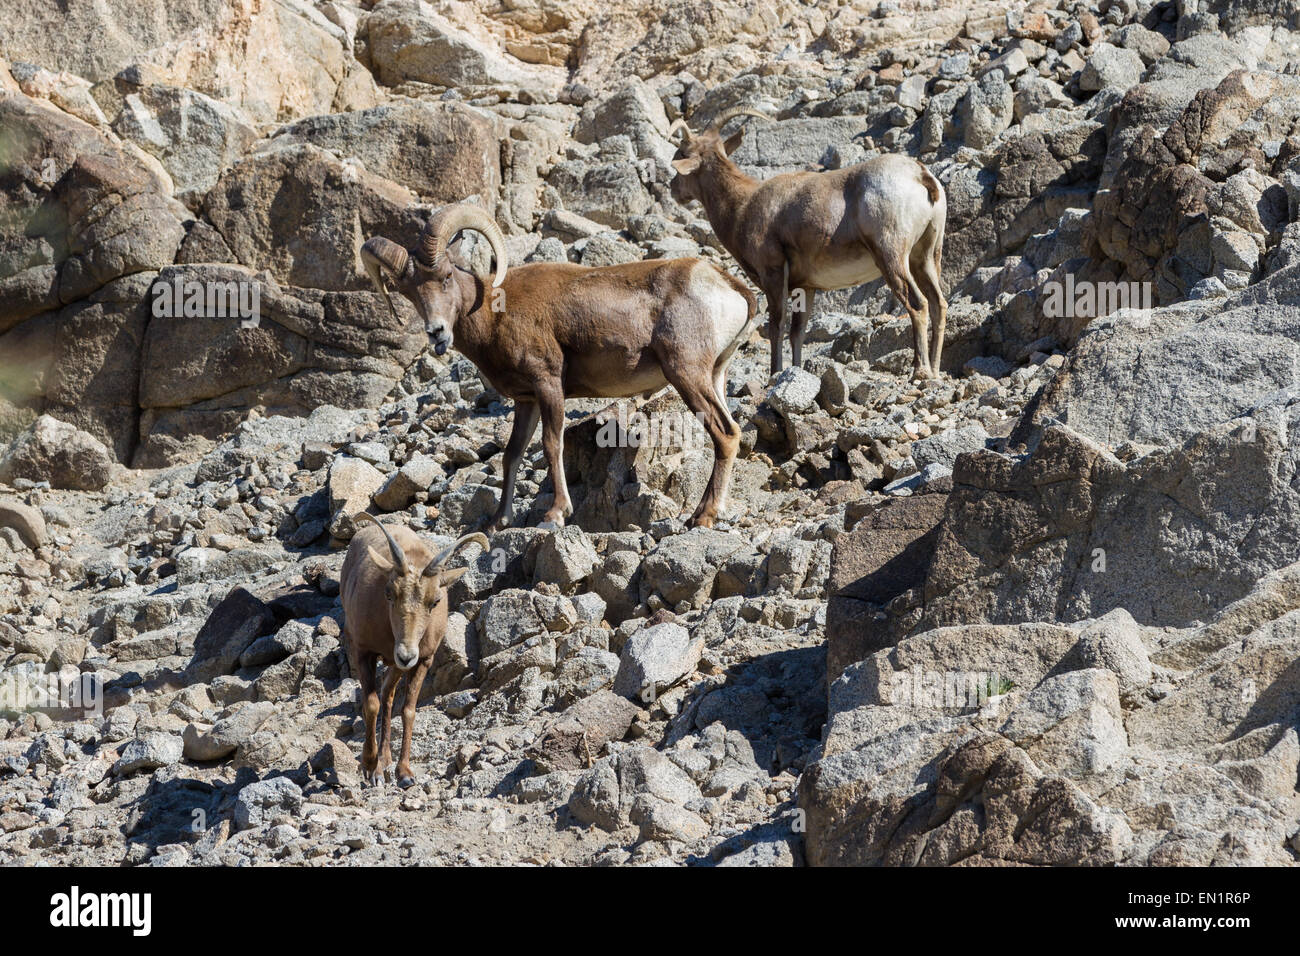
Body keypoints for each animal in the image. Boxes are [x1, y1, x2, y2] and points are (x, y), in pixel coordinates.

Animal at [341, 512, 487, 787]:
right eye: (389, 593)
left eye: (435, 601)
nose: (405, 654)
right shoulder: (363, 652)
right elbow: (371, 704)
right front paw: (369, 765)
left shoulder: (423, 661)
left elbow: (408, 710)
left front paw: (405, 773)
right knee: (382, 696)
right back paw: (378, 767)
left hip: (398, 666)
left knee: (388, 693)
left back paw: (385, 761)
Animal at [360, 203, 758, 530]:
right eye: (408, 292)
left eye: (445, 276)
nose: (437, 332)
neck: (493, 312)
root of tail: (729, 287)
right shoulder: (526, 400)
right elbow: (512, 455)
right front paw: (498, 522)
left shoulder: (548, 384)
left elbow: (552, 444)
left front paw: (555, 514)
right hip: (713, 376)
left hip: (687, 374)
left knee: (725, 433)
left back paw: (702, 517)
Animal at [666, 109, 948, 380]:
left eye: (681, 153)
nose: (672, 189)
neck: (743, 205)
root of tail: (920, 176)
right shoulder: (806, 286)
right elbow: (797, 332)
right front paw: (794, 370)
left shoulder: (773, 272)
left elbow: (777, 325)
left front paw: (774, 374)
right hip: (925, 257)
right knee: (938, 304)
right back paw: (935, 370)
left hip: (891, 257)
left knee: (918, 304)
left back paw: (920, 372)